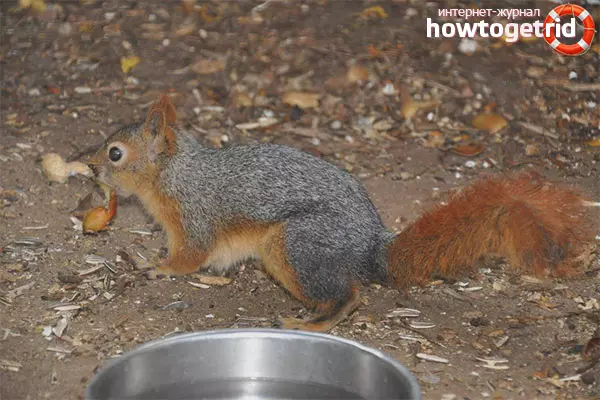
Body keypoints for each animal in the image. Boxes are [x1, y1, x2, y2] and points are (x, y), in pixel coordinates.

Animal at [86, 95, 596, 332]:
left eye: (115, 153)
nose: (88, 166)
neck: (174, 175)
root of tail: (369, 247)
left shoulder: (195, 217)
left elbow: (189, 257)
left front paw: (156, 266)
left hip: (295, 244)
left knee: (348, 295)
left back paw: (310, 321)